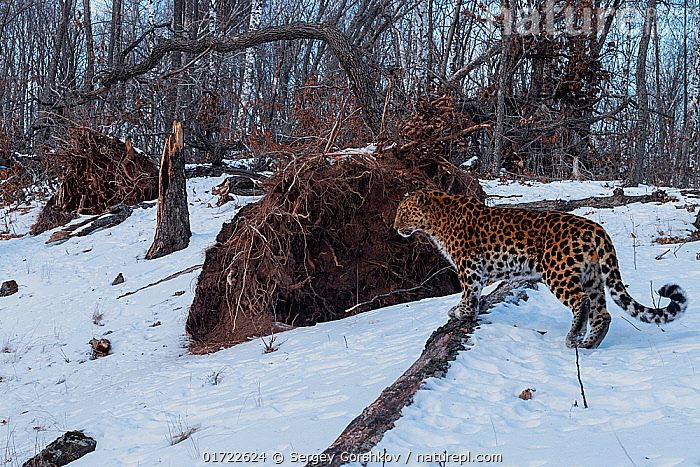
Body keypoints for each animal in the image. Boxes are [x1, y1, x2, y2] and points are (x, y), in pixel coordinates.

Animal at [393, 189, 688, 349]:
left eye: (404, 213)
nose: (395, 227)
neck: (436, 221)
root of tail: (596, 228)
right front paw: (468, 310)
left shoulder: (468, 265)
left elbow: (469, 290)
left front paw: (462, 312)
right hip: (593, 276)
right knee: (602, 313)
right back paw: (589, 344)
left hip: (557, 271)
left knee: (581, 301)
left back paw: (573, 337)